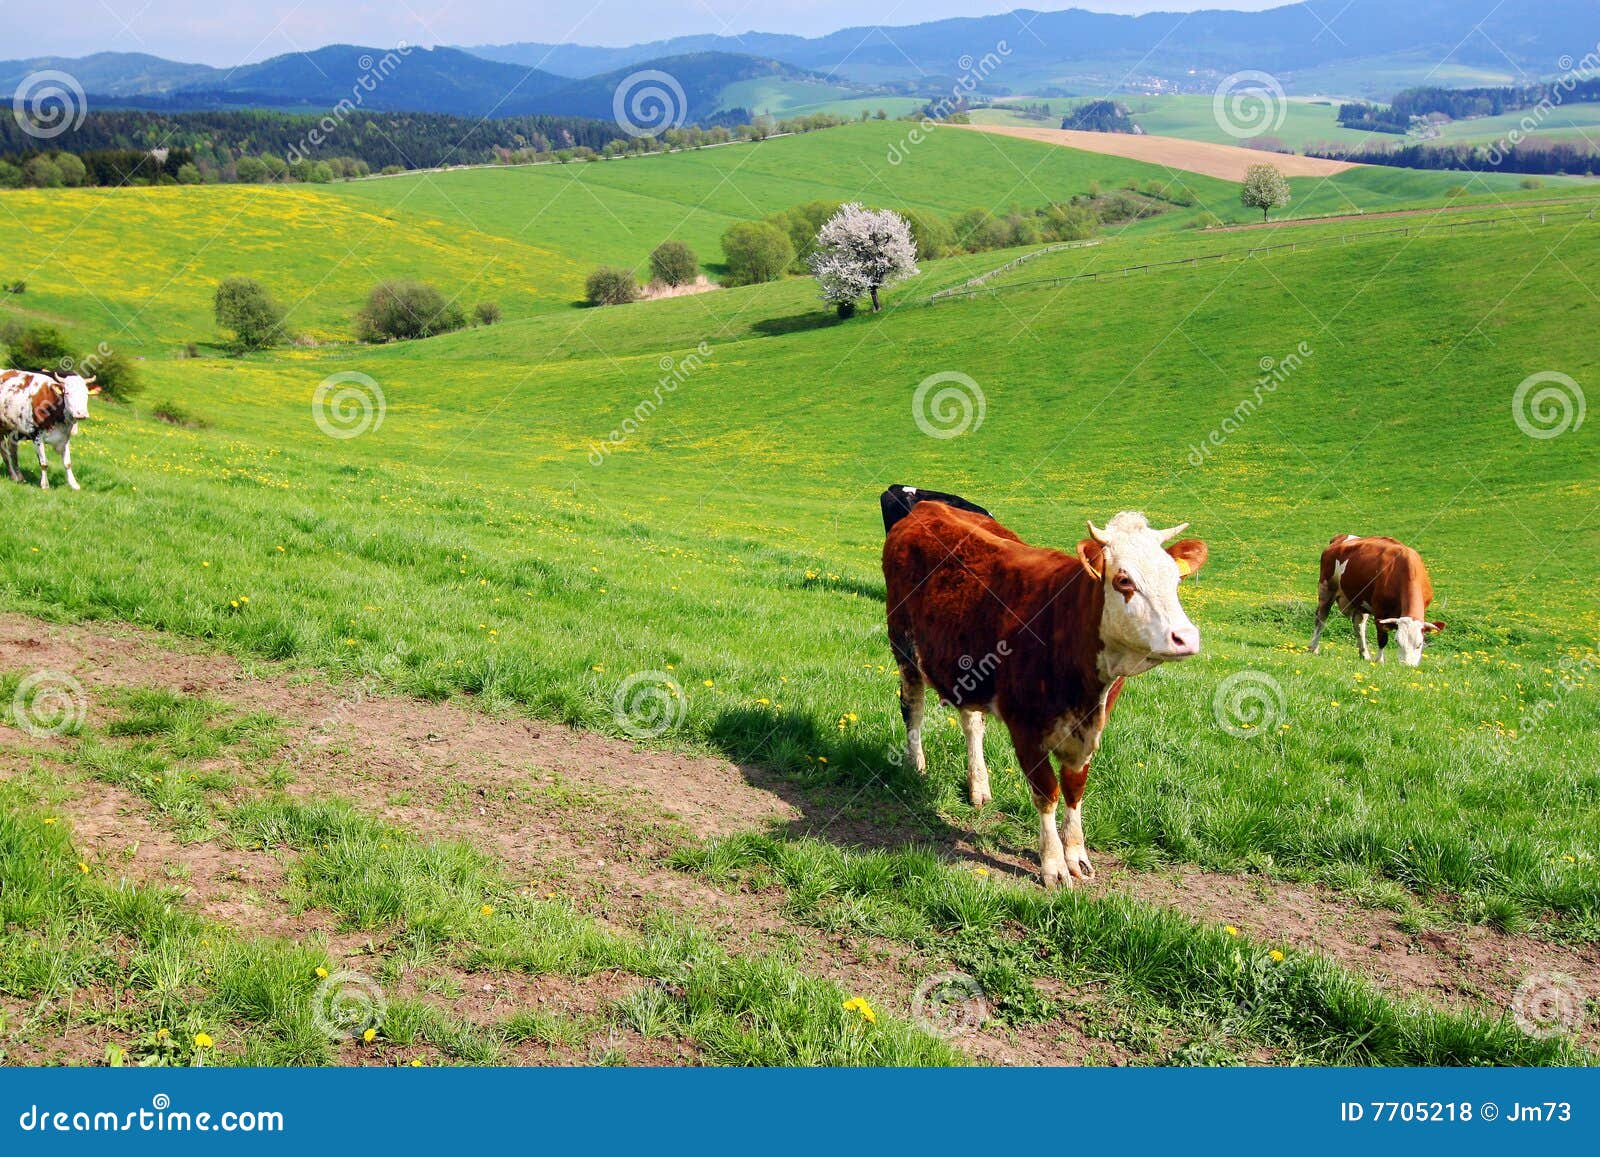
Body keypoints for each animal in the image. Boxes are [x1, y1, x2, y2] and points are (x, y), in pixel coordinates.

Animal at [882, 490, 1207, 888]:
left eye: (1176, 580)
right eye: (1124, 580)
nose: (1185, 637)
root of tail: (928, 506)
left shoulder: (1091, 729)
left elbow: (1074, 789)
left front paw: (1077, 854)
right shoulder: (1025, 727)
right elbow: (1046, 793)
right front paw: (1053, 864)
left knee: (972, 723)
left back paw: (979, 787)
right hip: (903, 645)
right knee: (912, 706)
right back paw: (915, 764)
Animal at [1310, 534, 1444, 667]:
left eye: (1420, 644)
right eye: (1397, 641)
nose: (1407, 666)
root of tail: (1340, 537)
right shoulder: (1380, 611)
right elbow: (1382, 639)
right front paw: (1379, 660)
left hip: (1360, 601)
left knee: (1359, 626)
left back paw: (1364, 654)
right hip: (1326, 589)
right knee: (1321, 618)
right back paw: (1313, 648)